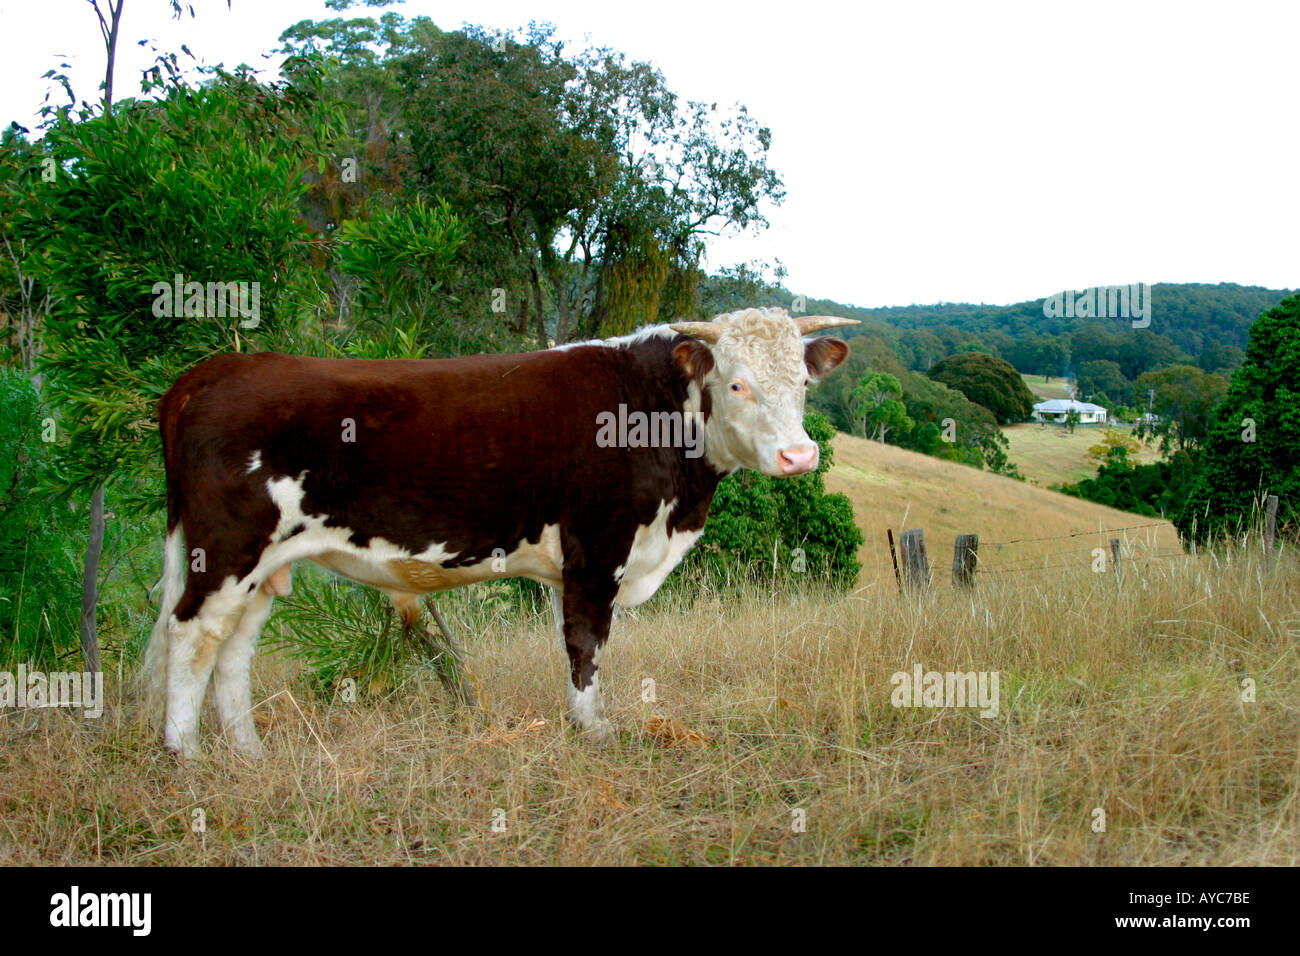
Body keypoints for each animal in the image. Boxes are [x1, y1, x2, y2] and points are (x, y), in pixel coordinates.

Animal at [144, 306, 858, 758]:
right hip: (226, 549)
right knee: (192, 636)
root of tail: (209, 373)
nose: (799, 456)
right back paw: (187, 756)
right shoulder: (596, 548)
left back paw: (248, 752)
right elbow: (584, 643)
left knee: (233, 648)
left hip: (262, 565)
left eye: (802, 382)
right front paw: (593, 730)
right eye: (736, 384)